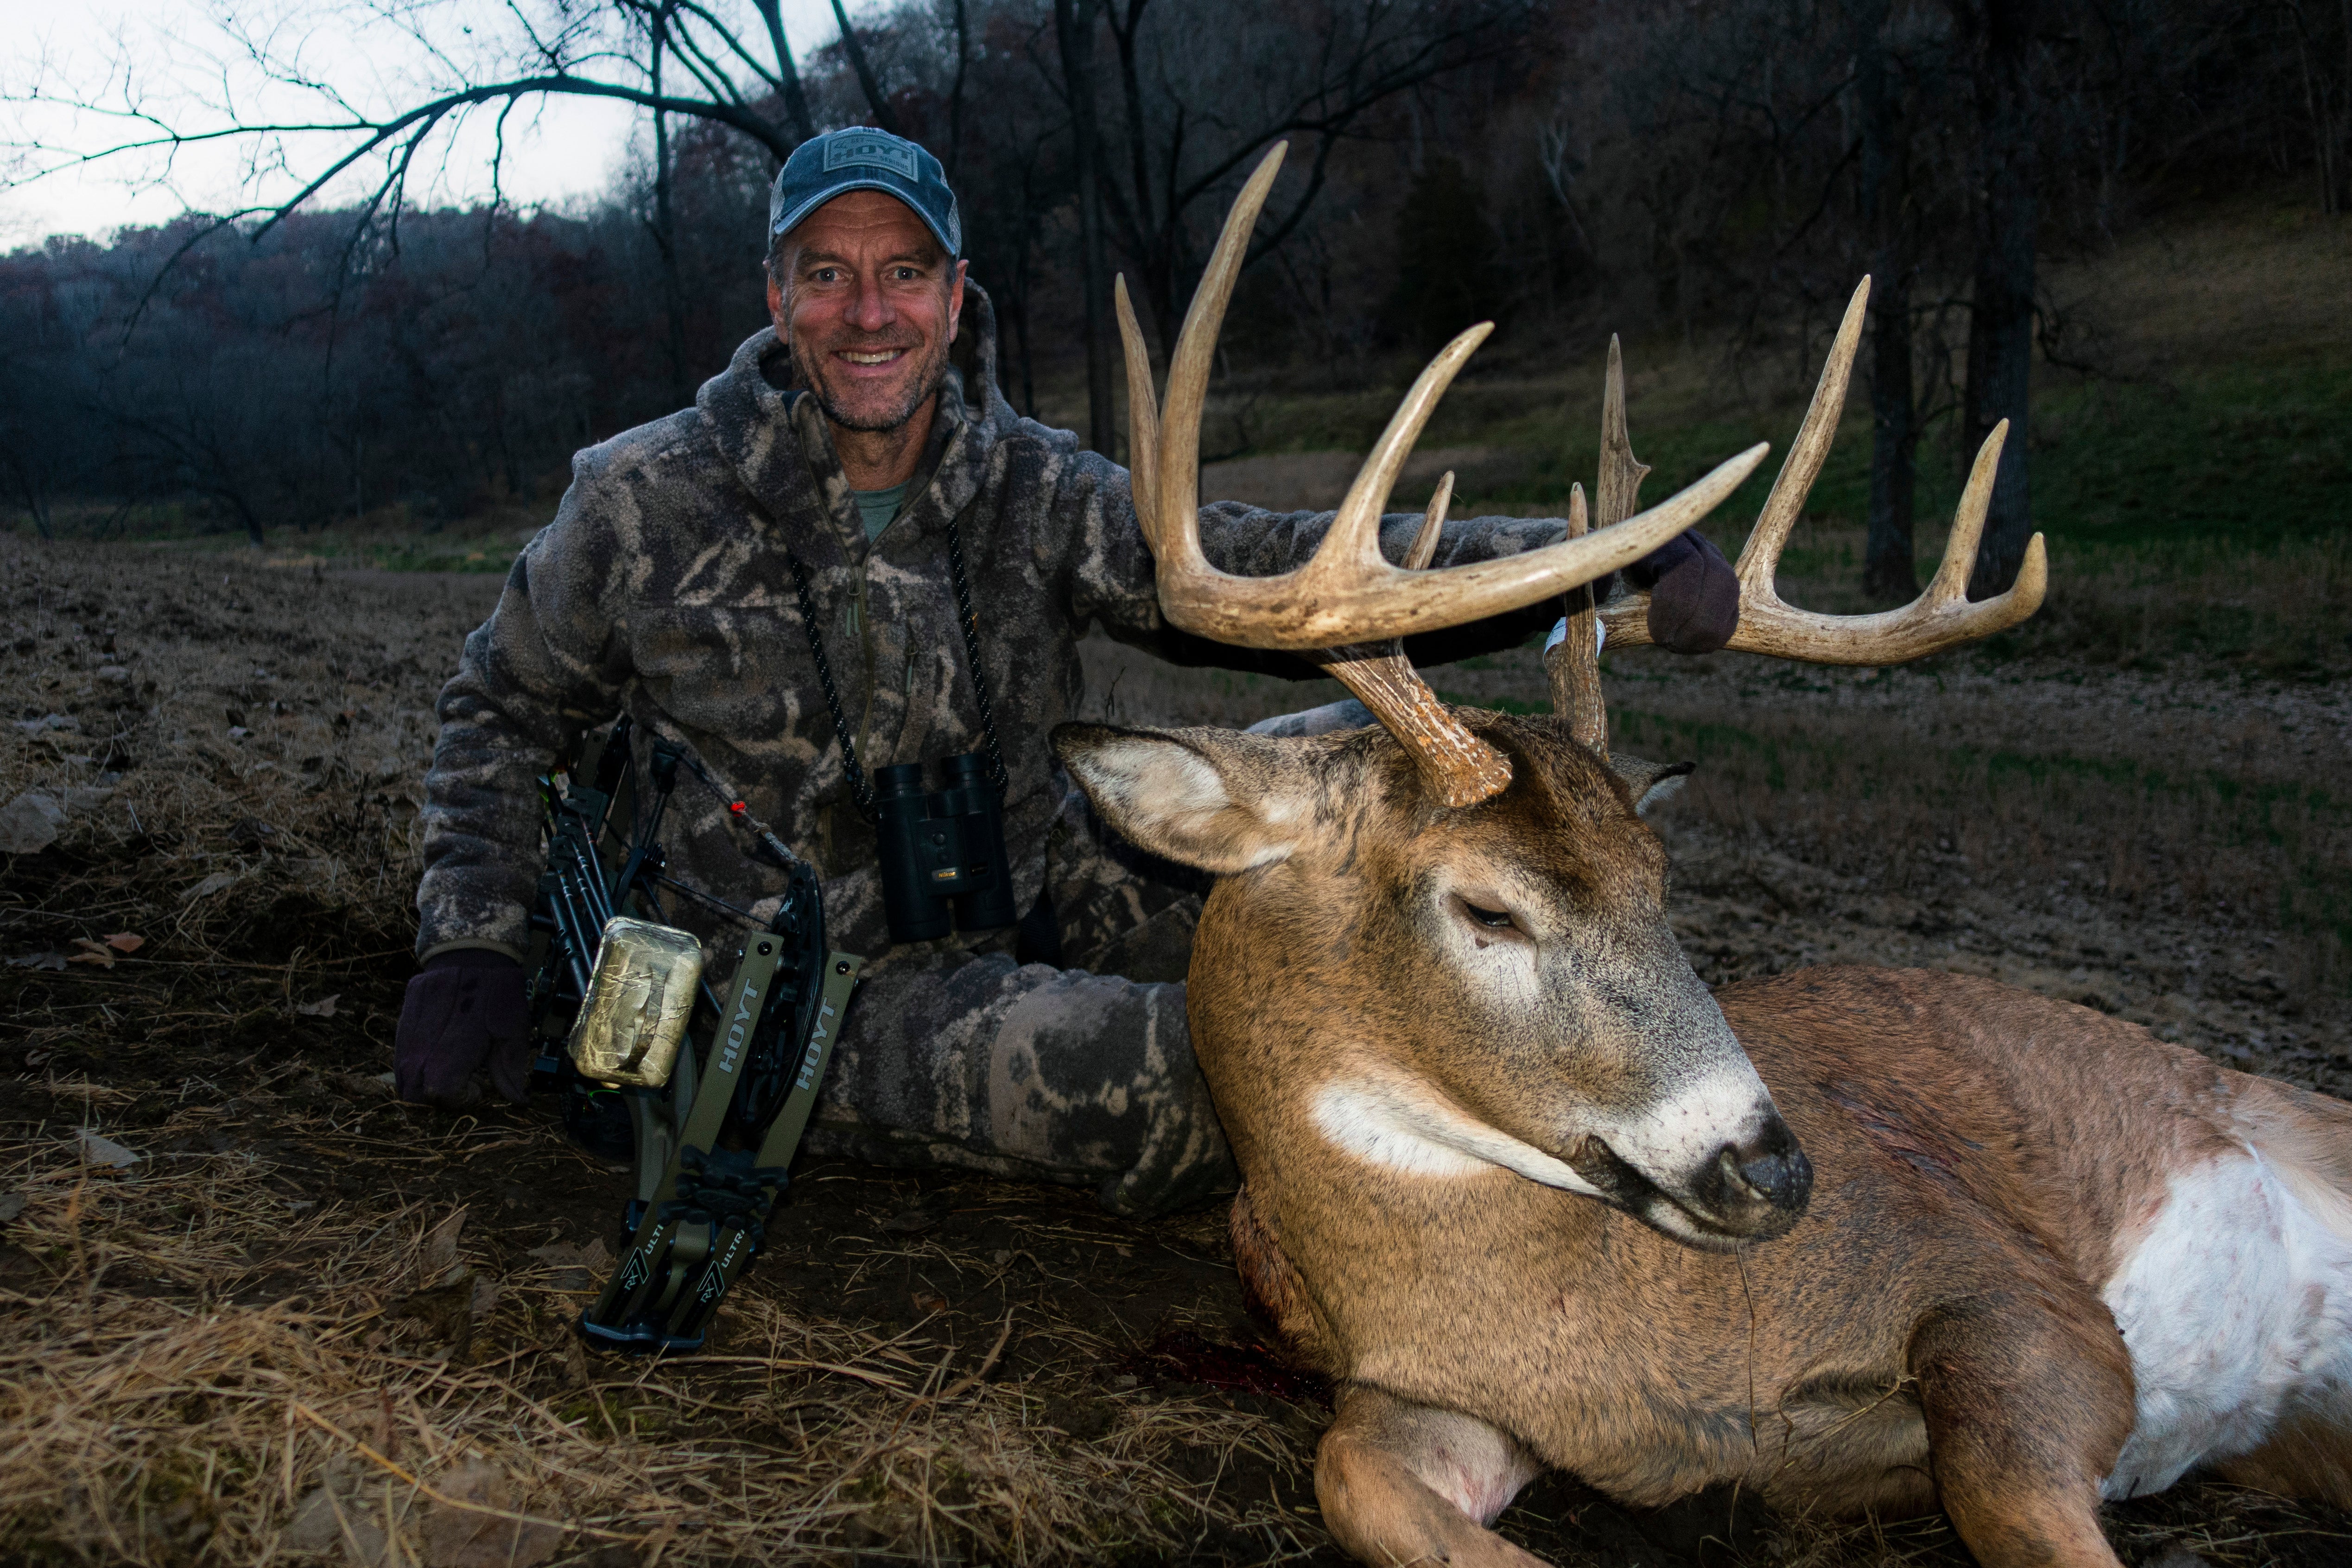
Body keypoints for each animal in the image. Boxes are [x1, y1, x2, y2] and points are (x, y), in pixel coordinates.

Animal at [1051, 146, 2352, 1568]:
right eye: (1488, 908)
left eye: (1662, 880)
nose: (1775, 1167)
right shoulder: (1432, 1399)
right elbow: (1355, 1475)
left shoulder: (2006, 1277)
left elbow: (1998, 1474)